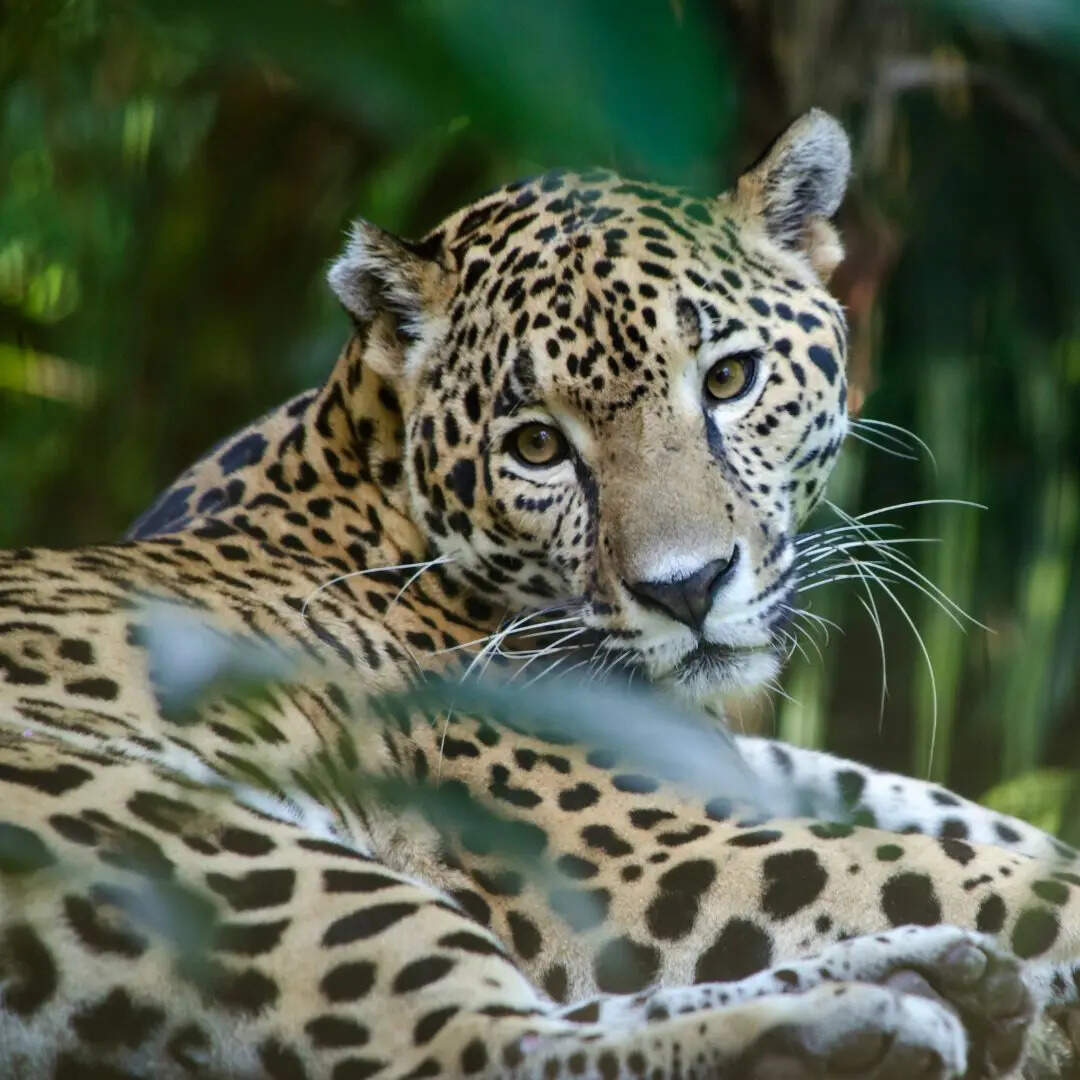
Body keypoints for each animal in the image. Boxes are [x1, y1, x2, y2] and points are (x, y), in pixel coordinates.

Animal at [3, 108, 1080, 1080]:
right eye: (535, 446)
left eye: (729, 379)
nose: (688, 589)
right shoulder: (631, 854)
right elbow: (952, 870)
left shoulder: (730, 765)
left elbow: (939, 812)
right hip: (179, 834)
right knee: (474, 1047)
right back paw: (855, 1027)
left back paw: (926, 980)